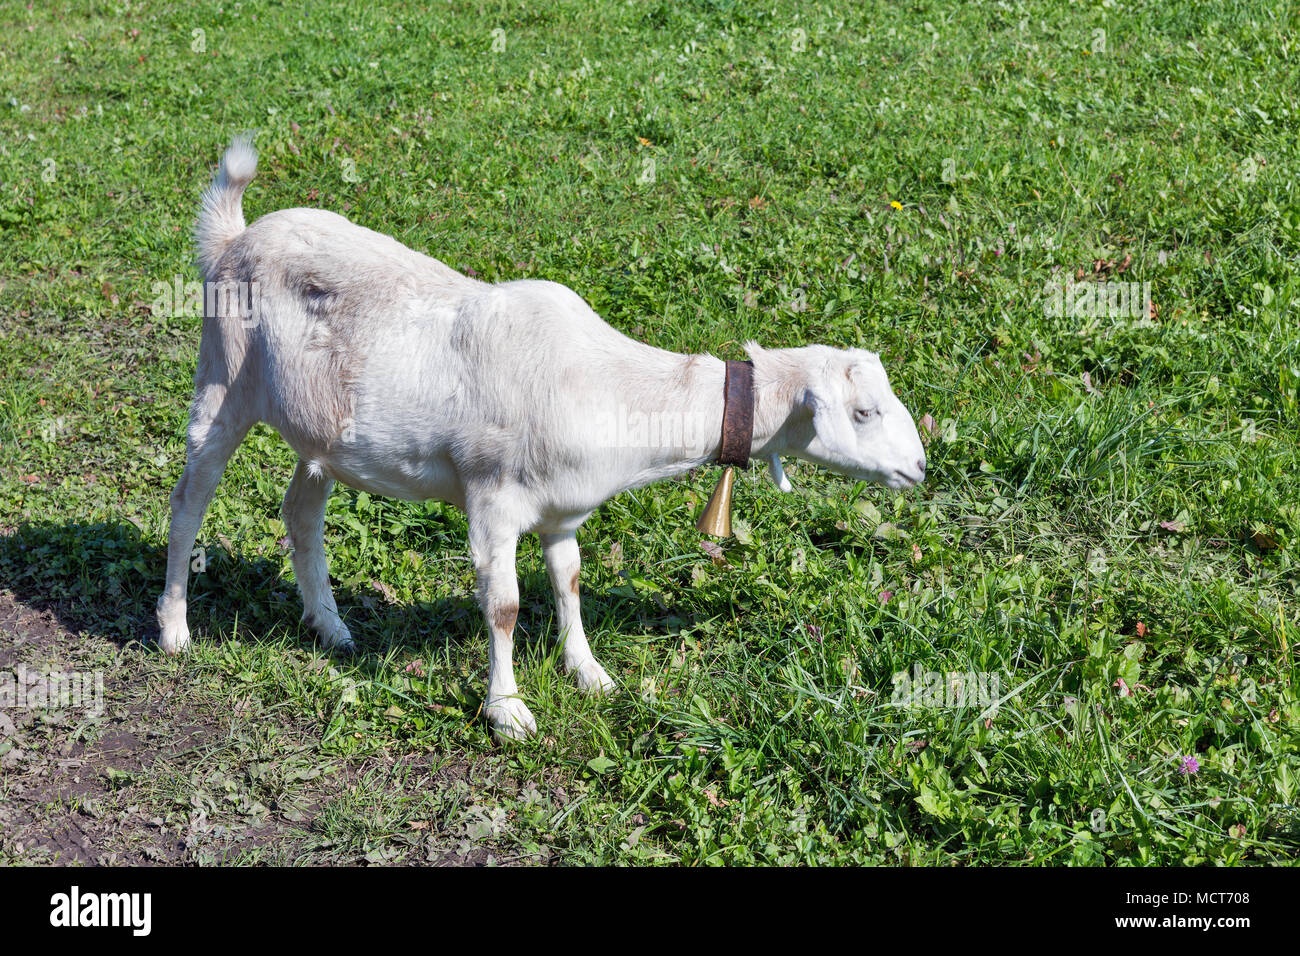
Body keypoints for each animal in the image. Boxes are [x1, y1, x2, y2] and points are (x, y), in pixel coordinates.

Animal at [156, 136, 928, 739]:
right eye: (864, 413)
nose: (920, 467)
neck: (605, 381)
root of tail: (232, 239)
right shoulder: (491, 499)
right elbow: (503, 607)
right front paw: (508, 710)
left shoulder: (564, 509)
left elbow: (569, 582)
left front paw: (589, 672)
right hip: (221, 378)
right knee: (188, 498)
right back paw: (174, 630)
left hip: (320, 431)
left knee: (300, 510)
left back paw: (331, 626)